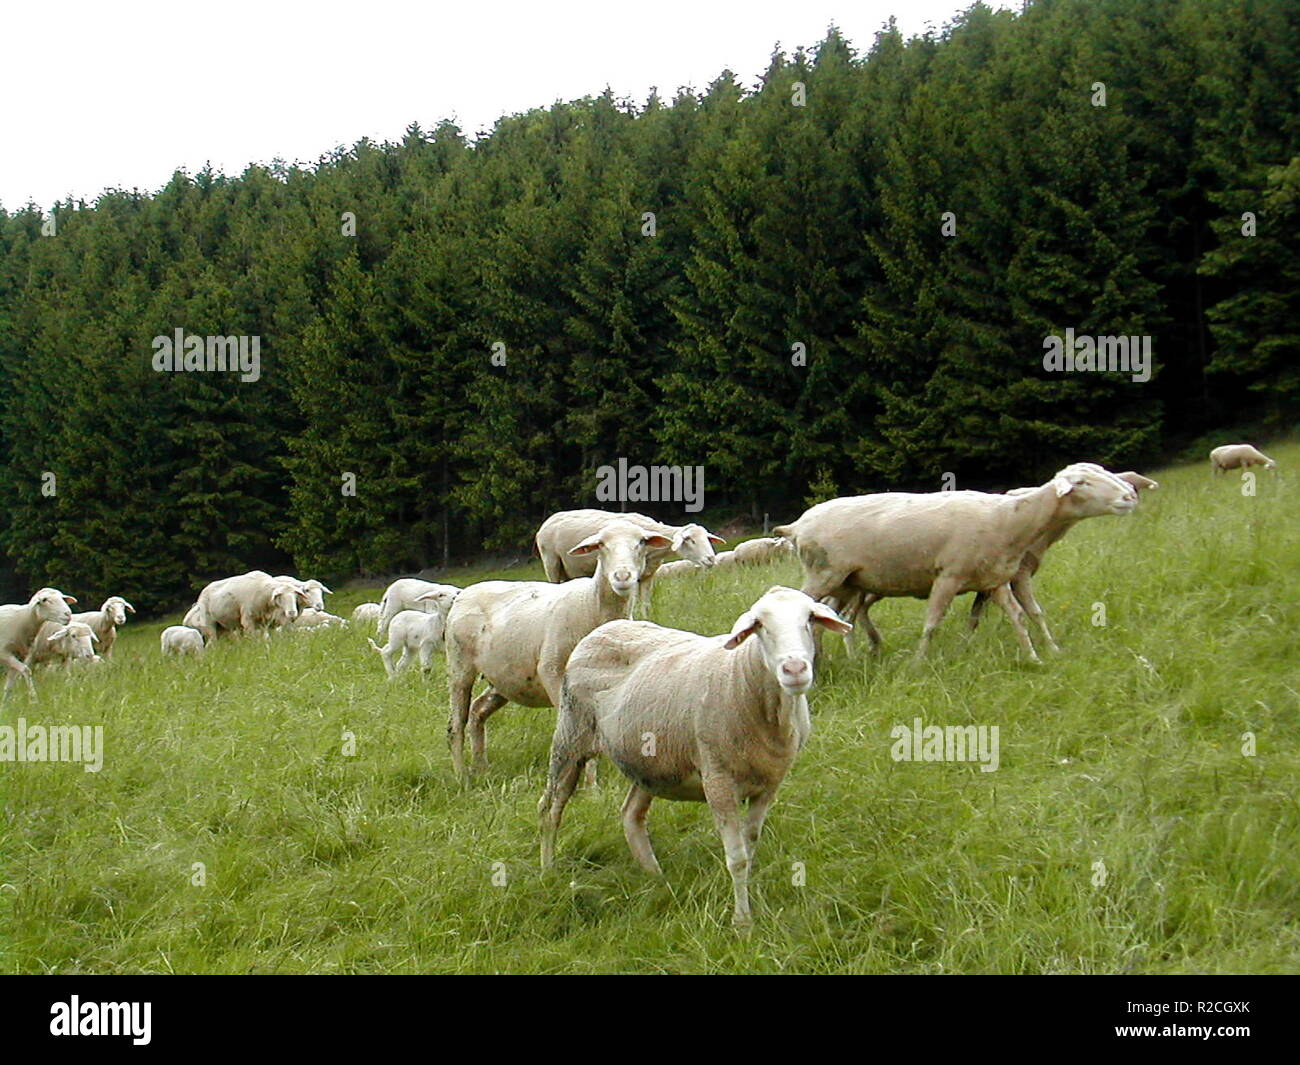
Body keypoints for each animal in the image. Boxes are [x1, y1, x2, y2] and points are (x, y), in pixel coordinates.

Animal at [446, 519, 673, 778]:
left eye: (641, 542)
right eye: (601, 544)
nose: (622, 576)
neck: (591, 604)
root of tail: (465, 592)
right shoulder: (551, 670)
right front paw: (590, 782)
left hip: (505, 677)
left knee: (478, 711)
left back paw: (481, 767)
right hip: (459, 666)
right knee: (456, 724)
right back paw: (461, 775)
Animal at [539, 586, 851, 931]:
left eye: (810, 618)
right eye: (759, 625)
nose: (795, 670)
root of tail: (603, 629)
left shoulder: (769, 785)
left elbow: (750, 846)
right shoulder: (718, 781)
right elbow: (737, 858)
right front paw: (742, 922)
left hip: (649, 761)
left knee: (631, 814)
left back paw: (656, 877)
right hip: (571, 738)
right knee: (550, 810)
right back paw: (549, 871)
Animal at [774, 463, 1138, 662]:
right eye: (1082, 483)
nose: (1129, 497)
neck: (1009, 520)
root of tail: (797, 525)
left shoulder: (995, 580)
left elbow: (1020, 616)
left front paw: (1036, 656)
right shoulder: (948, 576)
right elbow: (932, 623)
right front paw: (919, 664)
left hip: (848, 583)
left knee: (831, 618)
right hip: (824, 574)